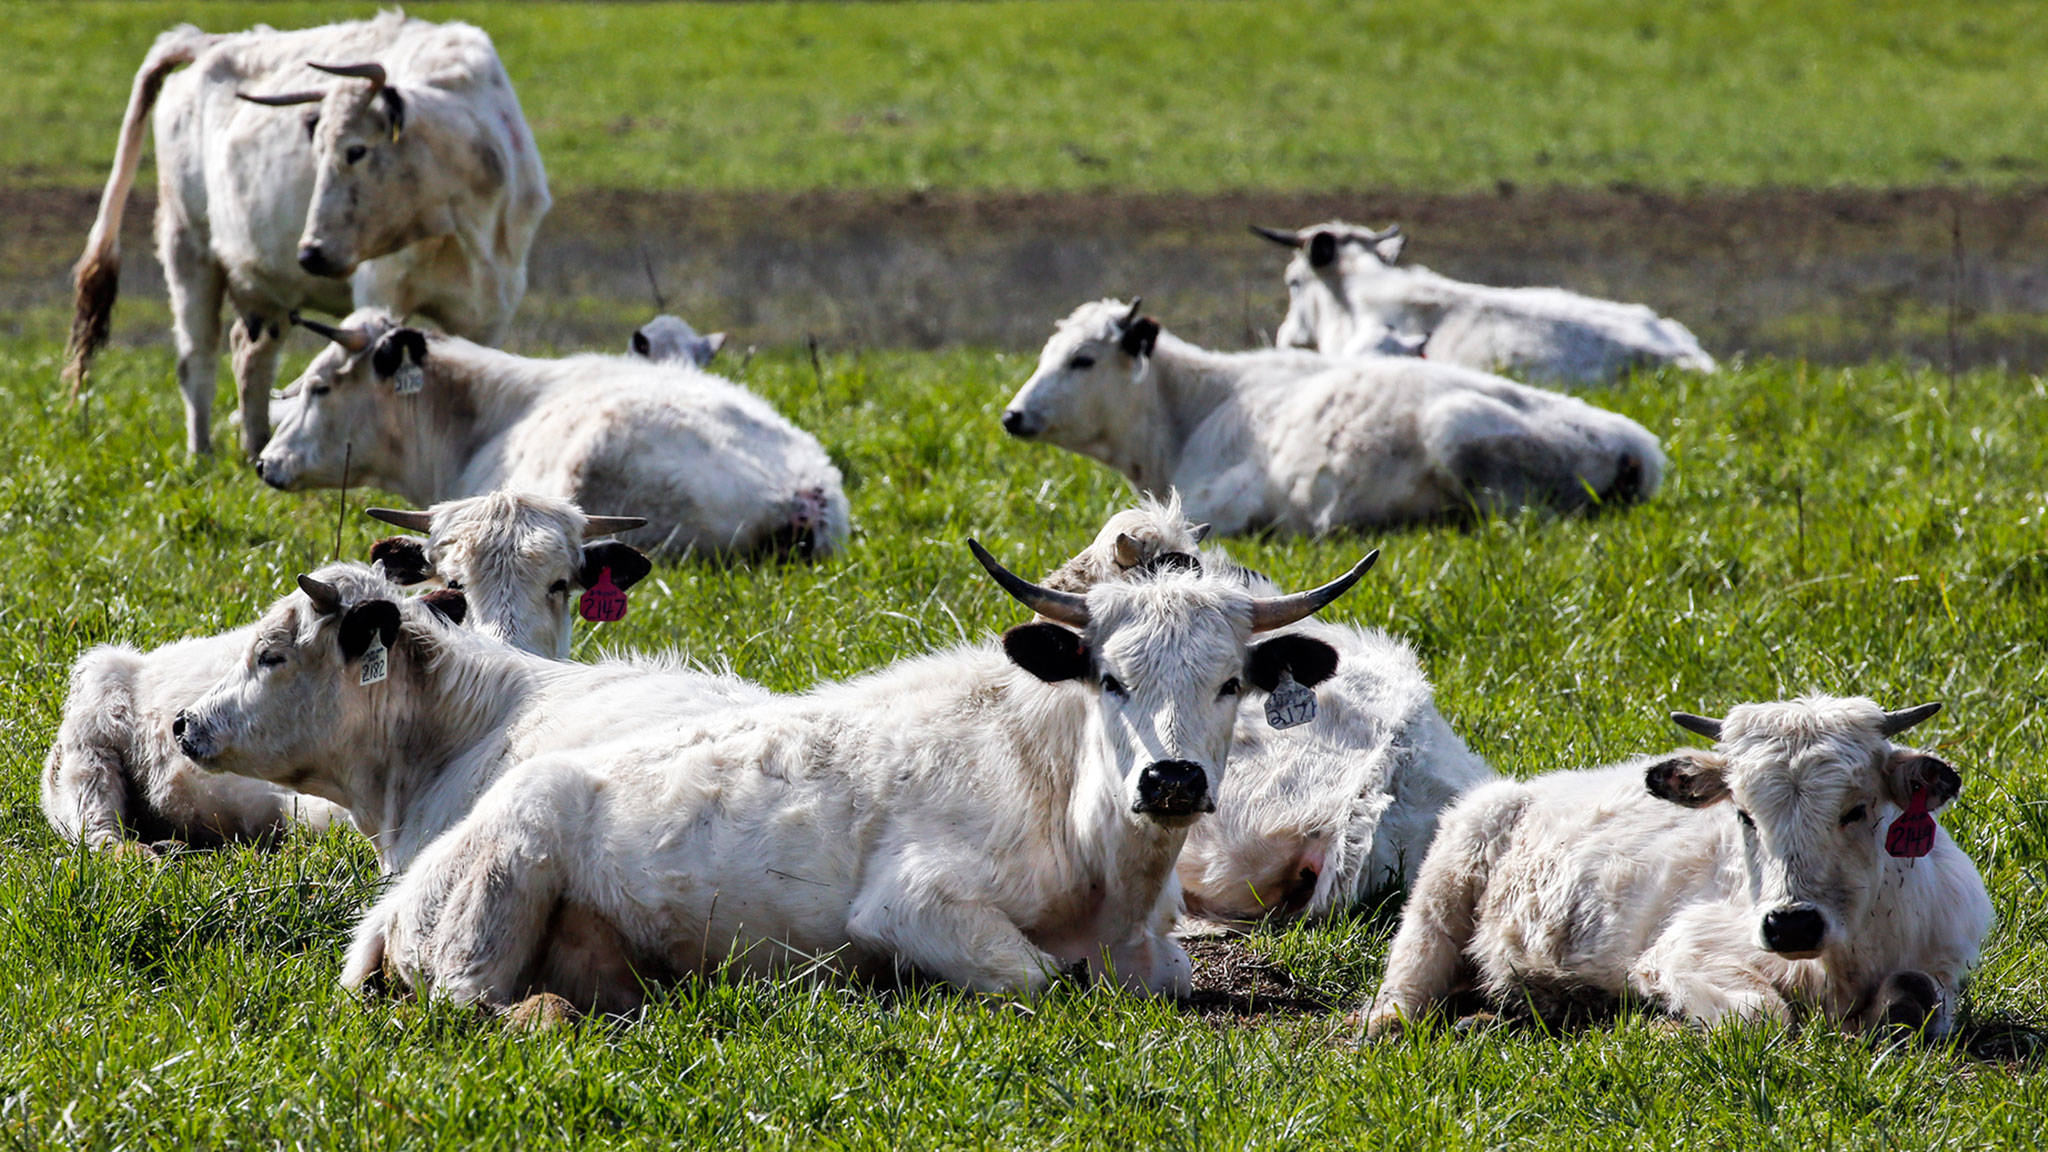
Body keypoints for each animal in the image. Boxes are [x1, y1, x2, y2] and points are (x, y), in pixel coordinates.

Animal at [62, 12, 550, 457]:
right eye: (317, 150)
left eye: (356, 150)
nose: (311, 253)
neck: (461, 222)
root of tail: (207, 42)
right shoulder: (381, 289)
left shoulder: (490, 309)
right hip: (188, 246)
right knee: (196, 357)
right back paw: (201, 456)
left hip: (264, 283)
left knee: (250, 351)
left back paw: (255, 448)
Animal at [171, 544, 1373, 1017]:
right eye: (1111, 678)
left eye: (1230, 682)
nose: (1169, 780)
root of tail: (393, 899)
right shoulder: (915, 906)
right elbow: (1037, 978)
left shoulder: (1155, 952)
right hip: (499, 885)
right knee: (473, 1002)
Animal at [1362, 697, 1994, 1040]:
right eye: (1743, 813)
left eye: (1857, 809)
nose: (1791, 924)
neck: (1839, 959)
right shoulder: (1682, 949)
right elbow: (1761, 1015)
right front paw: (1662, 1023)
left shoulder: (1943, 960)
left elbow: (1914, 997)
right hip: (1443, 882)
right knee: (1409, 980)